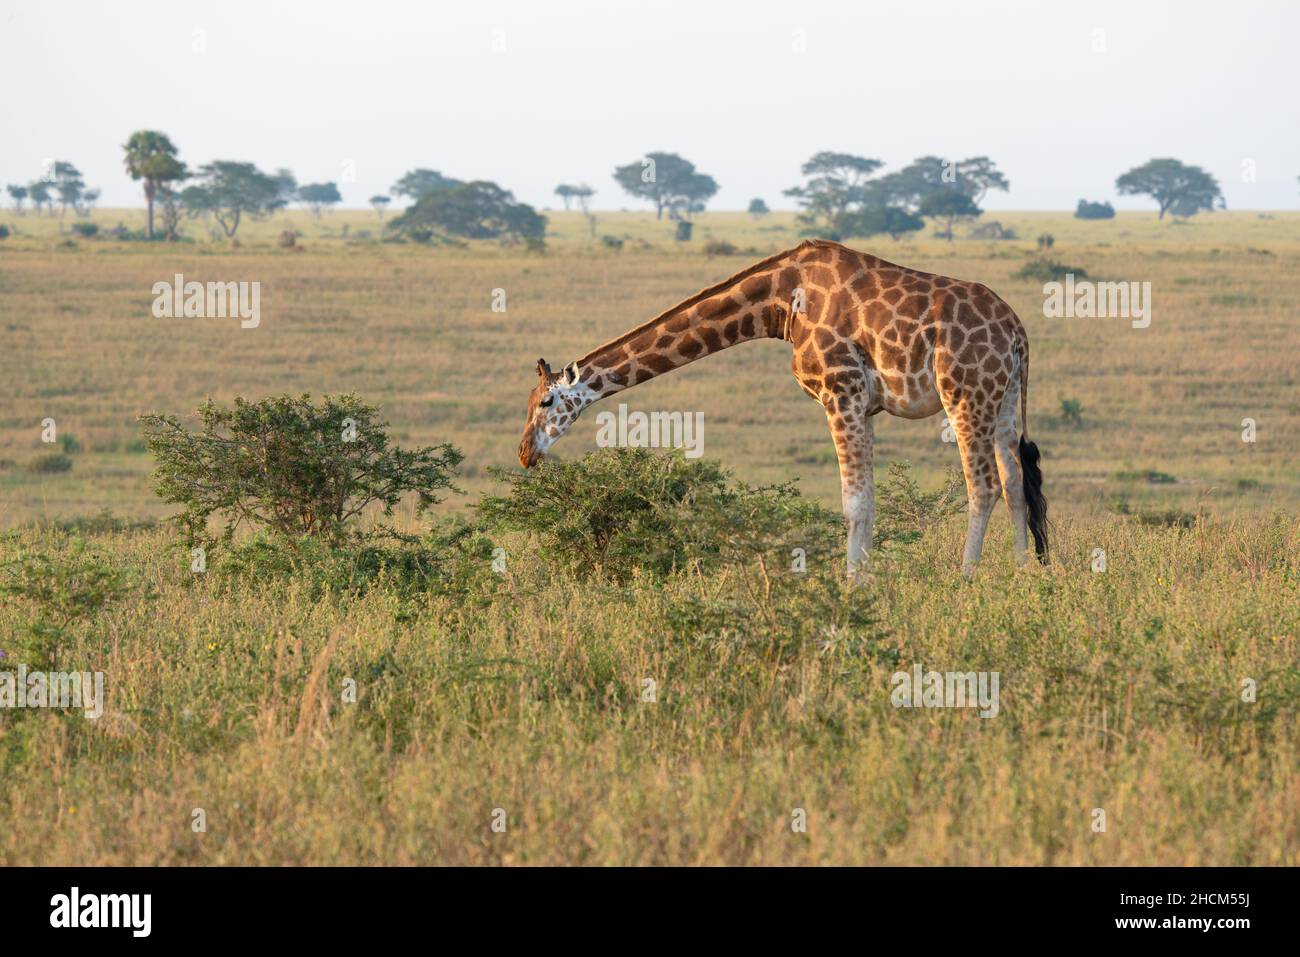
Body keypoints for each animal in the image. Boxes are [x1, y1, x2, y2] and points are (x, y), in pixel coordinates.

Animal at [518, 239, 1048, 577]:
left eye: (545, 401)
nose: (525, 453)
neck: (780, 302)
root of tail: (1017, 331)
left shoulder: (841, 391)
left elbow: (853, 503)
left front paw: (851, 588)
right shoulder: (863, 405)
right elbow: (868, 500)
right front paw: (865, 580)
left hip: (964, 393)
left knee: (982, 485)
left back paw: (966, 581)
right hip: (1001, 401)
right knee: (1014, 482)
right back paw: (1023, 576)